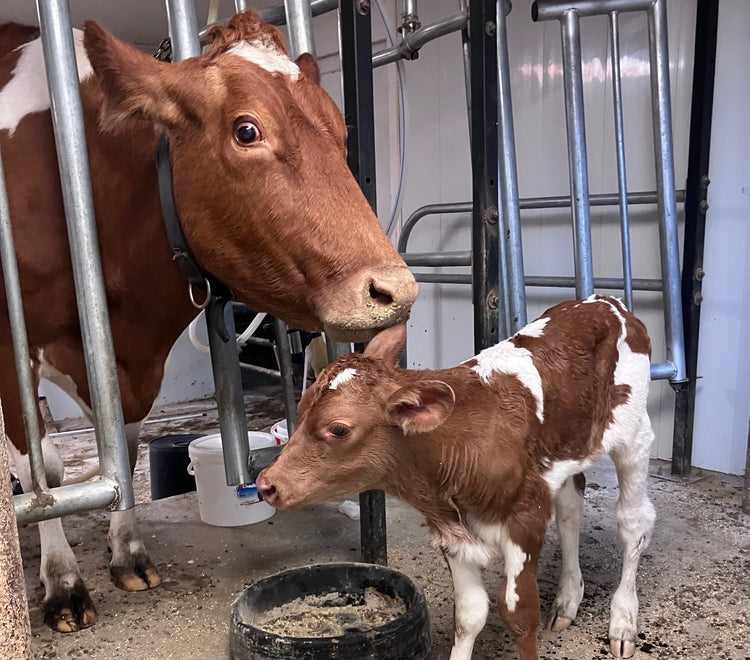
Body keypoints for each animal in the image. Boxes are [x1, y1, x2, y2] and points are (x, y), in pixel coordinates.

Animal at [0, 11, 418, 633]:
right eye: (247, 131)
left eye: (341, 131)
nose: (397, 291)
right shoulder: (12, 351)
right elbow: (44, 473)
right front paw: (63, 583)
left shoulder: (131, 363)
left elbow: (122, 450)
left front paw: (127, 553)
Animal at [258, 296, 656, 660]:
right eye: (300, 409)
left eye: (338, 429)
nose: (266, 484)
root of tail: (603, 302)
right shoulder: (451, 531)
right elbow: (469, 615)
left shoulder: (526, 518)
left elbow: (520, 614)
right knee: (571, 509)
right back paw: (568, 600)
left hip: (634, 434)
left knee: (633, 523)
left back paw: (622, 622)